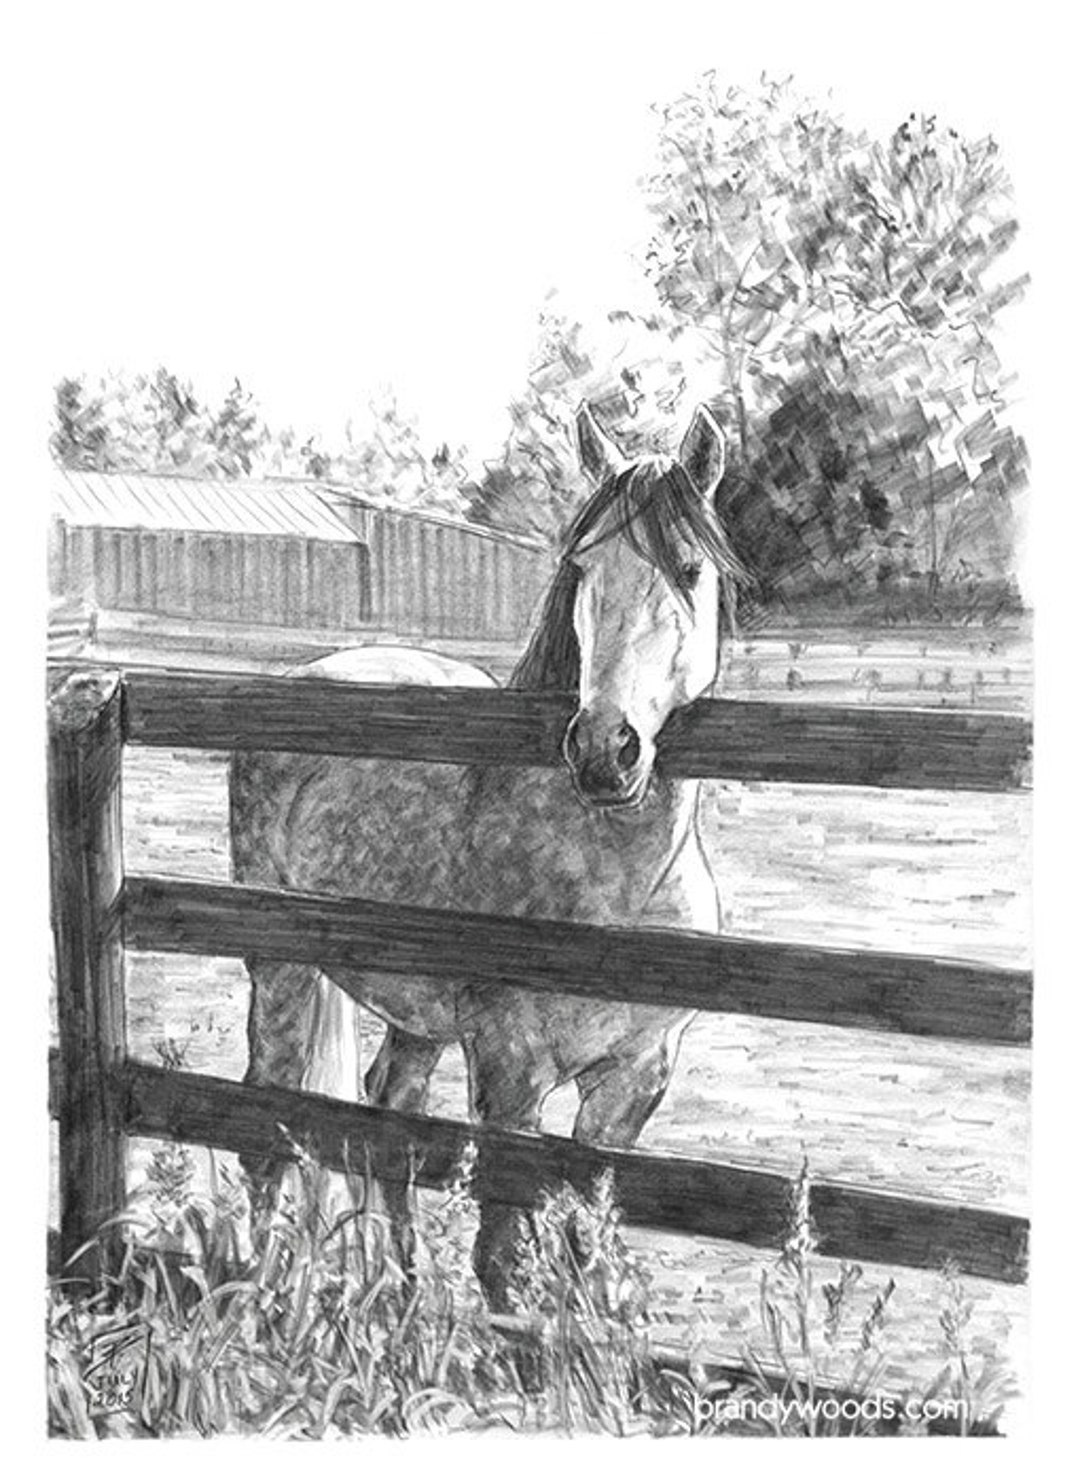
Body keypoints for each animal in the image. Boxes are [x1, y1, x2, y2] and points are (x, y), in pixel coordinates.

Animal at [228, 403, 742, 1302]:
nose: (605, 749)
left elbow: (586, 1245)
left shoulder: (635, 1078)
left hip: (414, 1011)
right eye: (581, 567)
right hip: (282, 970)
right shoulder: (511, 1070)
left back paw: (399, 1295)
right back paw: (257, 1297)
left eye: (687, 569)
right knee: (270, 1124)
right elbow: (502, 1253)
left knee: (388, 1116)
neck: (617, 884)